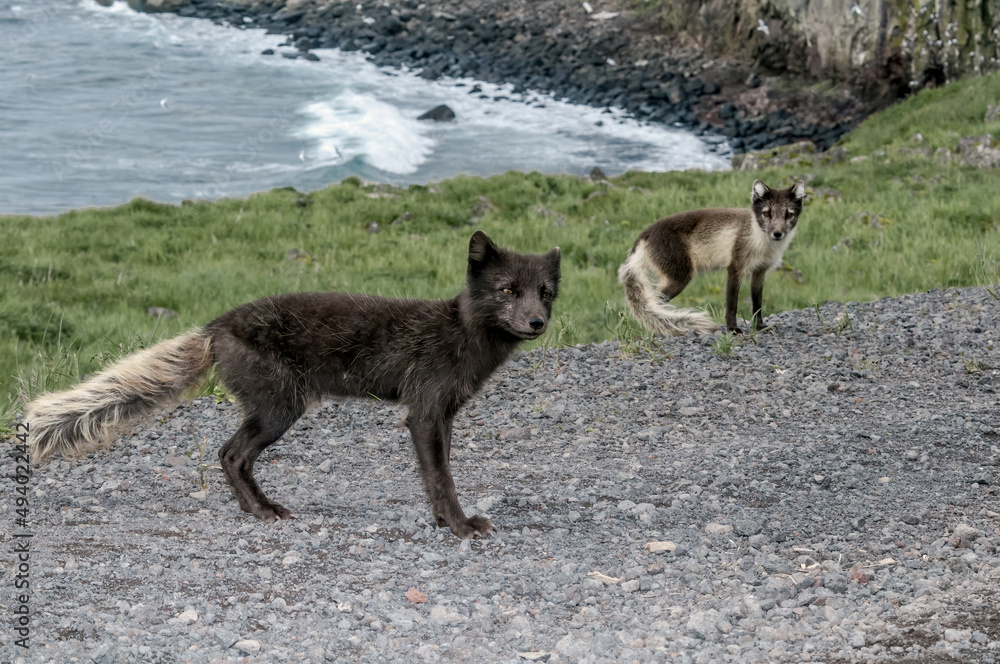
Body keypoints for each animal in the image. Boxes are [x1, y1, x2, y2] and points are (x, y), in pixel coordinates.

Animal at [23, 231, 561, 539]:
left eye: (545, 293)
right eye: (506, 290)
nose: (537, 322)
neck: (462, 334)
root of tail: (215, 325)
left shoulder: (443, 415)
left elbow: (434, 476)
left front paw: (443, 522)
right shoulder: (424, 412)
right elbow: (442, 477)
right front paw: (460, 527)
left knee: (229, 456)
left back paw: (255, 510)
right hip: (281, 409)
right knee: (230, 454)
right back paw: (263, 511)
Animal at [618, 179, 805, 336]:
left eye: (788, 214)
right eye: (767, 213)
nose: (777, 233)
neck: (758, 238)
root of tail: (644, 235)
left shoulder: (760, 272)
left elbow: (757, 304)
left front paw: (759, 327)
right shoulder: (735, 268)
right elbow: (732, 305)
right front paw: (732, 330)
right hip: (680, 278)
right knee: (654, 303)